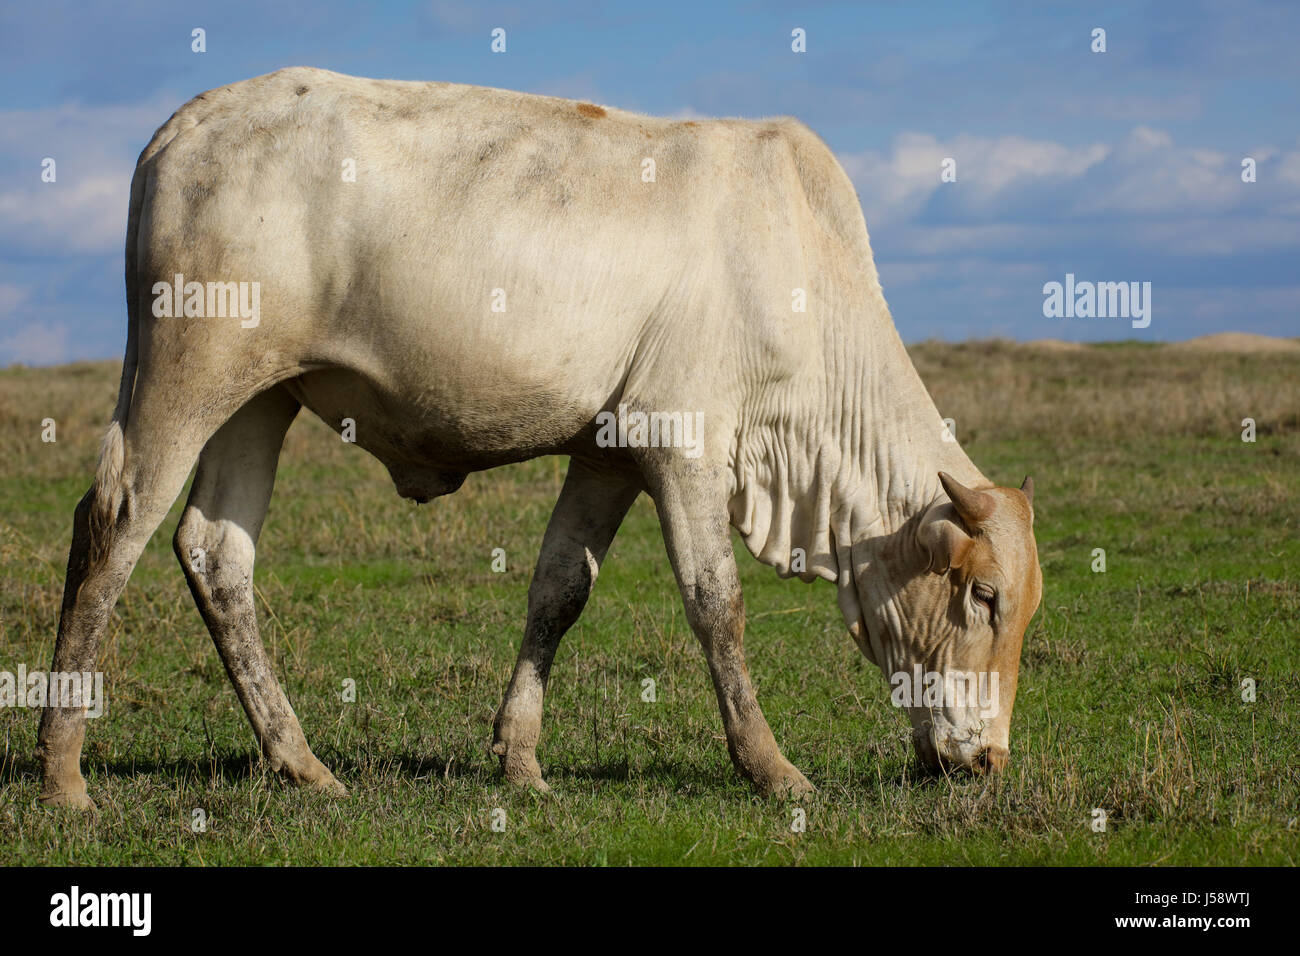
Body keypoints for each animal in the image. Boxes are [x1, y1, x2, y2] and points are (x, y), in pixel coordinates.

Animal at [35, 68, 1041, 808]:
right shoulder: (680, 441)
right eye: (986, 596)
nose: (989, 760)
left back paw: (300, 762)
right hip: (189, 372)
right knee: (115, 526)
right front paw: (771, 767)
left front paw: (519, 758)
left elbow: (560, 589)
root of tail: (185, 123)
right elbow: (715, 603)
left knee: (216, 552)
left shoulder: (608, 451)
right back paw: (63, 772)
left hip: (259, 397)